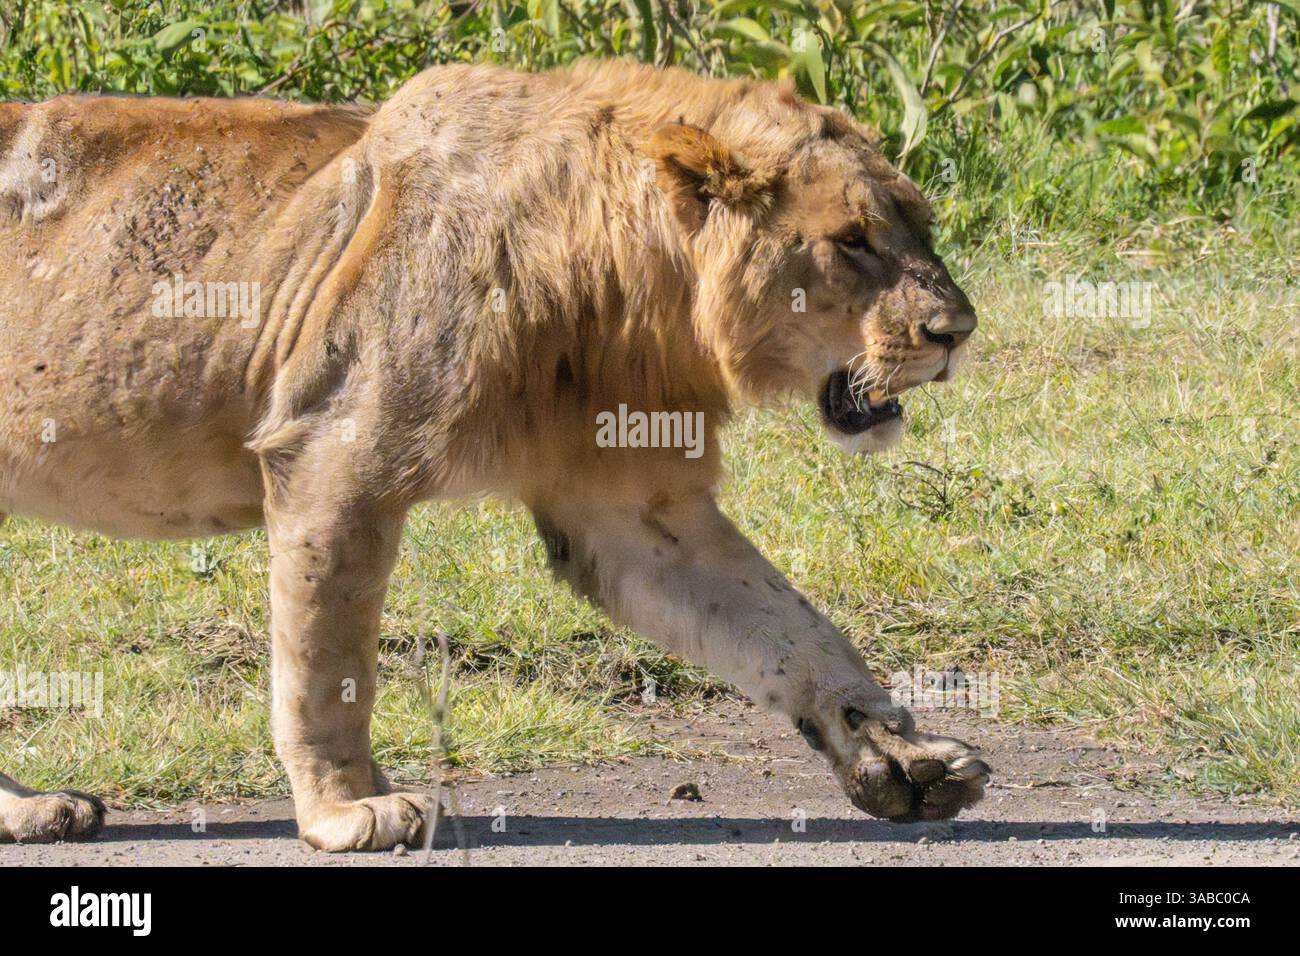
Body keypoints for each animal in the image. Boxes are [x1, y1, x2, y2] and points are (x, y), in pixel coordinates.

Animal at [0, 60, 985, 851]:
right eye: (851, 240)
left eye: (921, 226)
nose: (958, 331)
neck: (629, 285)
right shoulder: (332, 456)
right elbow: (327, 668)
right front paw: (347, 813)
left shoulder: (628, 509)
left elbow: (791, 629)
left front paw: (900, 753)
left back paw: (33, 810)